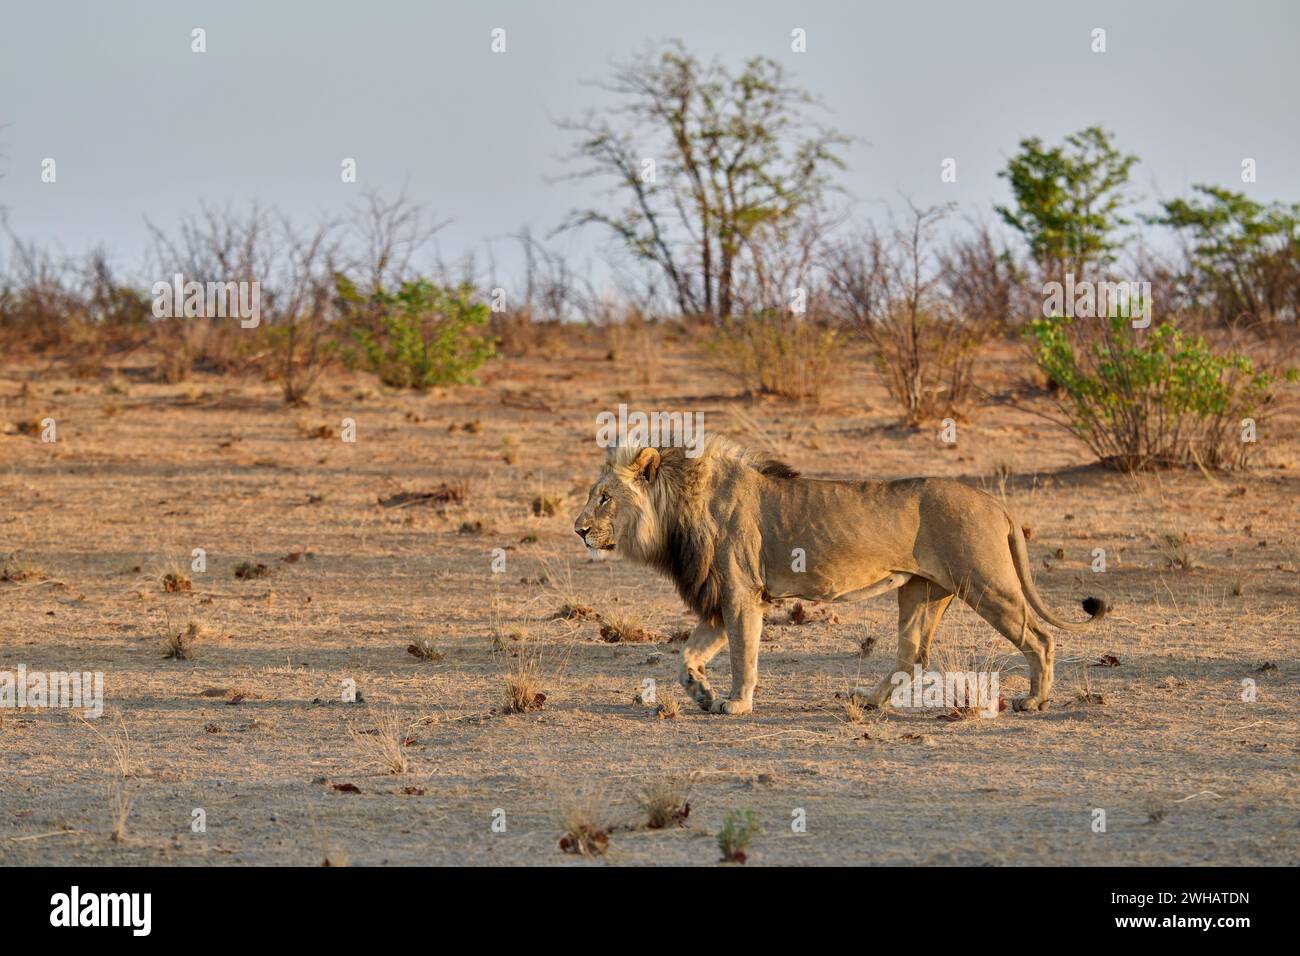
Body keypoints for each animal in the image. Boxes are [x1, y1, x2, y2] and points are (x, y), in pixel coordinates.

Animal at [574, 436, 1106, 716]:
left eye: (604, 498)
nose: (577, 530)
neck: (681, 504)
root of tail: (996, 503)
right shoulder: (727, 595)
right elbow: (686, 657)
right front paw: (703, 695)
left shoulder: (741, 592)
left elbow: (744, 655)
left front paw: (737, 704)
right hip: (923, 592)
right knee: (913, 654)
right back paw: (869, 701)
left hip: (986, 583)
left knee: (1040, 639)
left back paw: (1034, 701)